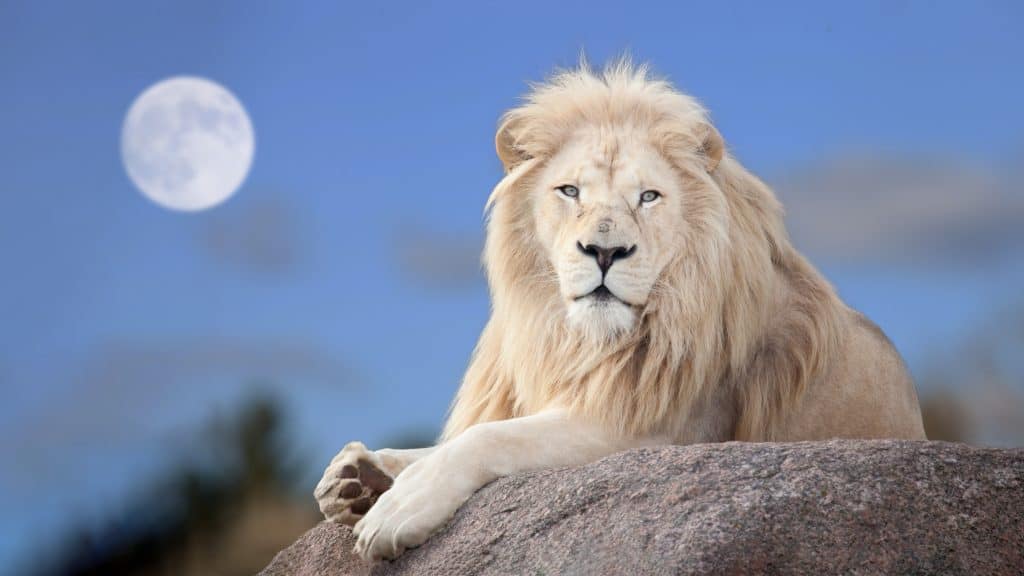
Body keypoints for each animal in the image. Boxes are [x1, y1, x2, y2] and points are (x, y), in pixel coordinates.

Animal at [315, 60, 926, 561]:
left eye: (648, 197)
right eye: (569, 191)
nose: (605, 252)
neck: (579, 336)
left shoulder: (658, 430)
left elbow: (494, 437)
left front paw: (396, 509)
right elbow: (460, 438)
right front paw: (358, 476)